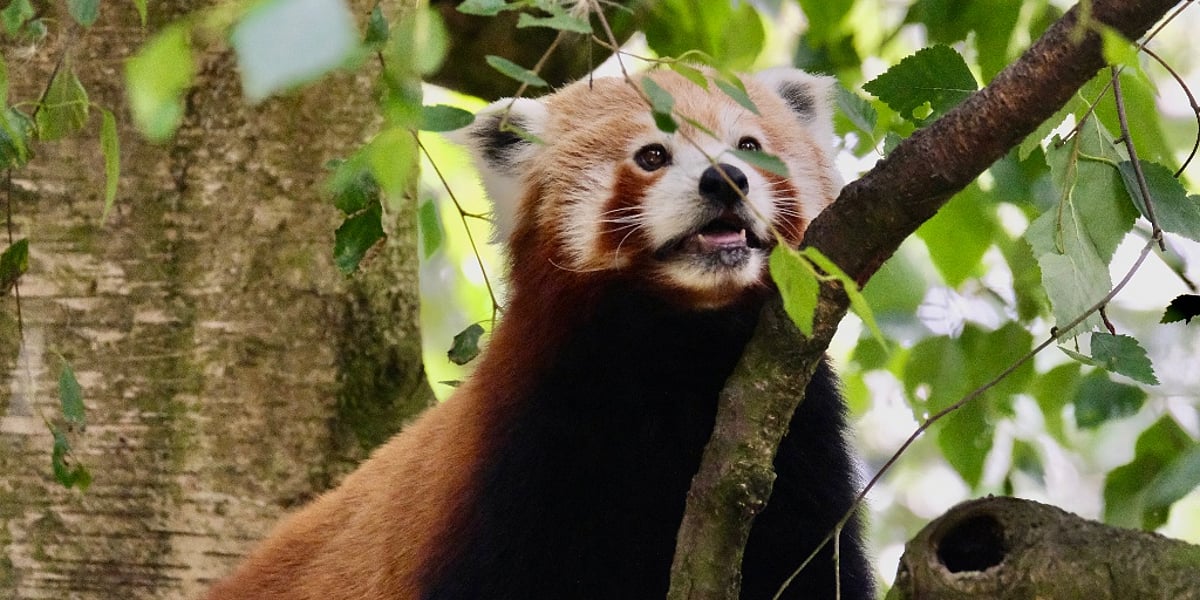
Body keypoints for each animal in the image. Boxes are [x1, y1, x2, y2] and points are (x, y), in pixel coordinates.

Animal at [204, 67, 872, 600]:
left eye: (750, 145)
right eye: (652, 155)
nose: (725, 178)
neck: (684, 355)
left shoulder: (798, 439)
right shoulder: (521, 450)